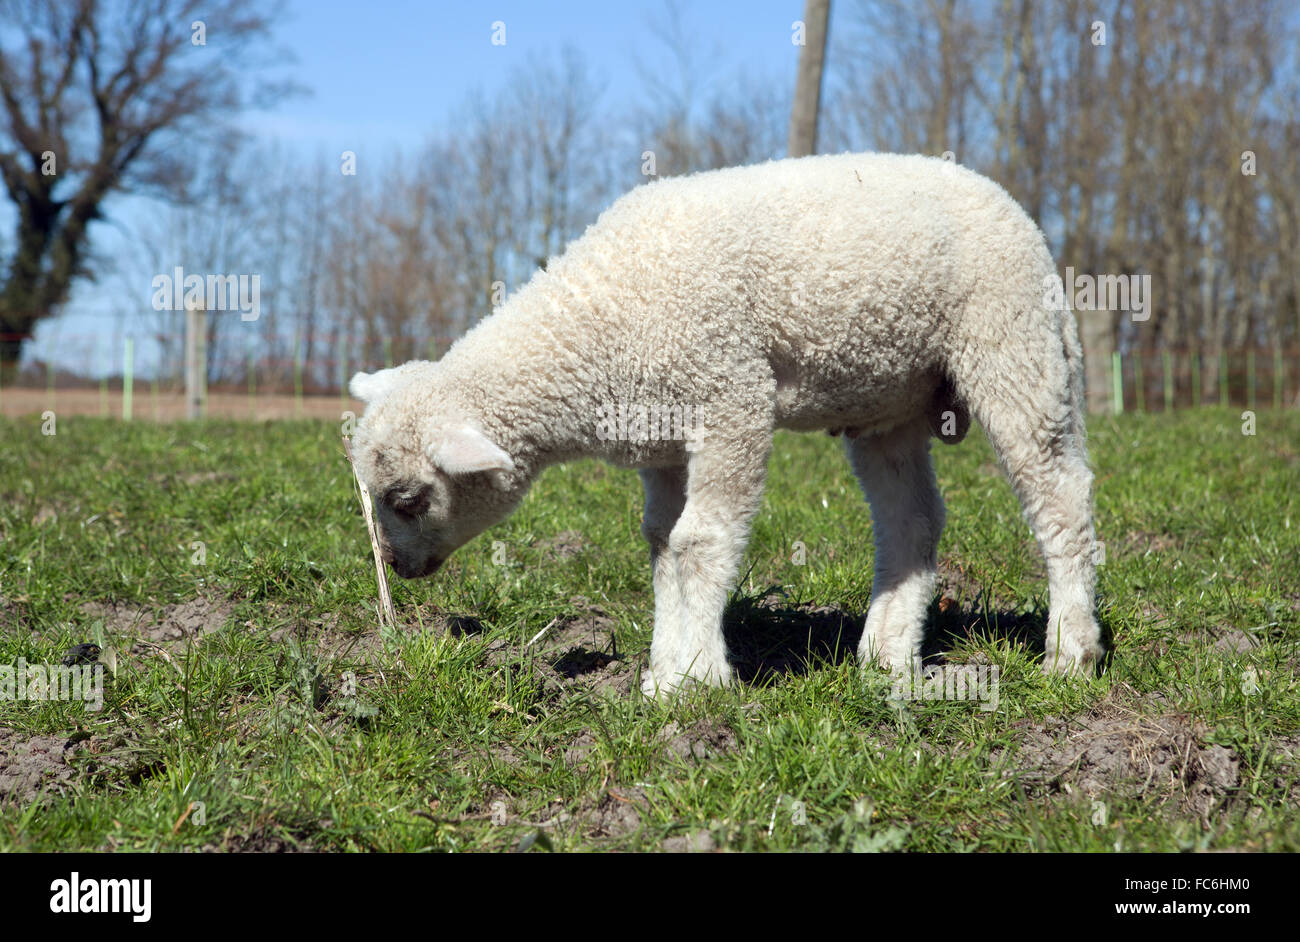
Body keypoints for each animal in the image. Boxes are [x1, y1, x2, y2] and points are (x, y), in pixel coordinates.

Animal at [347, 152, 1105, 699]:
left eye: (408, 499)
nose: (397, 568)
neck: (595, 326)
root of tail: (1018, 211)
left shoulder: (728, 396)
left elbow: (700, 542)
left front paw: (696, 677)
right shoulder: (662, 440)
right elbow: (661, 544)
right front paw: (662, 670)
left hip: (1013, 343)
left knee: (1060, 497)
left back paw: (1071, 651)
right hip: (888, 402)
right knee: (911, 518)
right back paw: (887, 654)